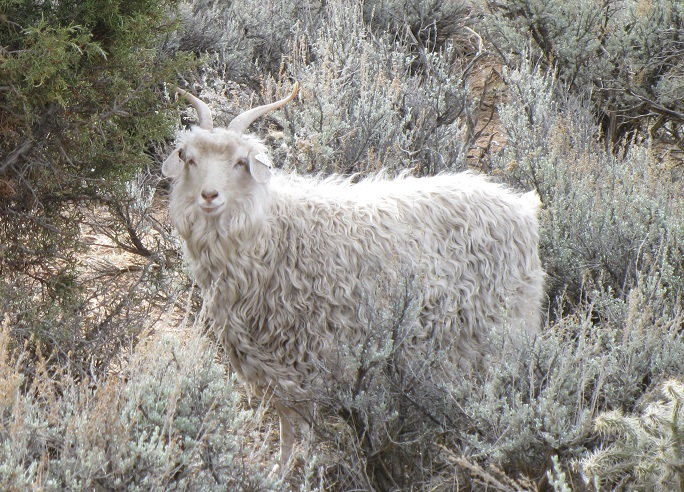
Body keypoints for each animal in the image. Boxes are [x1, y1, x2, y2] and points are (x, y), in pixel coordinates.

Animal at [162, 83, 545, 465]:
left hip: (503, 331)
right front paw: (278, 470)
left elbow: (302, 431)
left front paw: (301, 470)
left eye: (241, 161)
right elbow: (286, 428)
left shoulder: (303, 357)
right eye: (188, 158)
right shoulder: (271, 362)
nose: (209, 196)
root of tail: (523, 209)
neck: (273, 233)